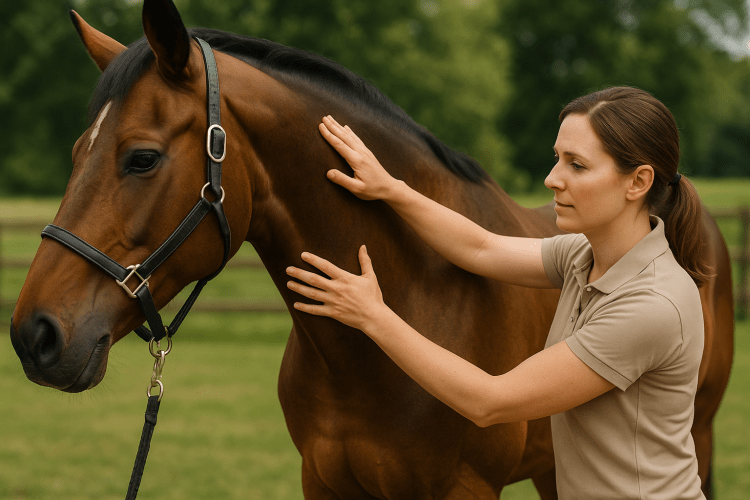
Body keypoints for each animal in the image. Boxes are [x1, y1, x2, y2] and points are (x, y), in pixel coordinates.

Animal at [10, 0, 733, 498]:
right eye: (76, 153)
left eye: (141, 158)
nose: (34, 335)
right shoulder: (326, 482)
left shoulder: (463, 488)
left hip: (694, 438)